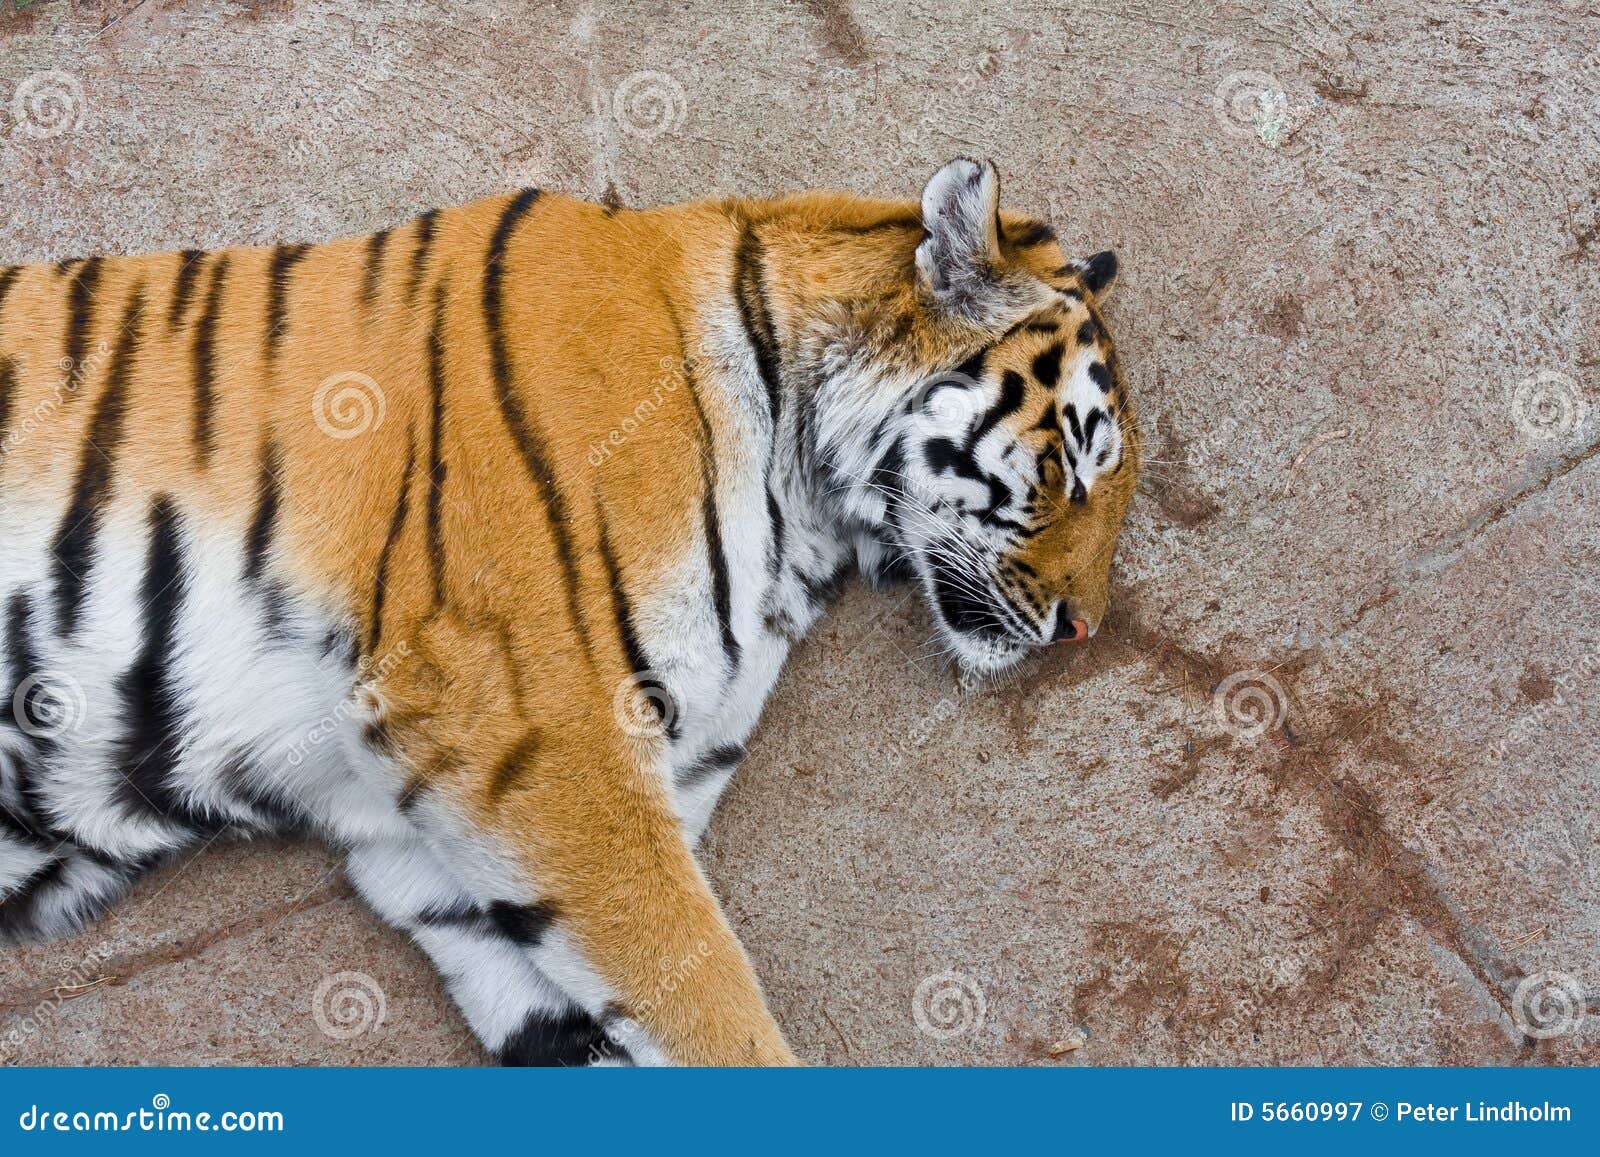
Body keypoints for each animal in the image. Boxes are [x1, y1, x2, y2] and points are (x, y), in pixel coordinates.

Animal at [0, 157, 1138, 1065]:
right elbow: (708, 1002)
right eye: (1075, 461)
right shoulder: (537, 737)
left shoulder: (432, 847)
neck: (806, 512)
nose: (1082, 626)